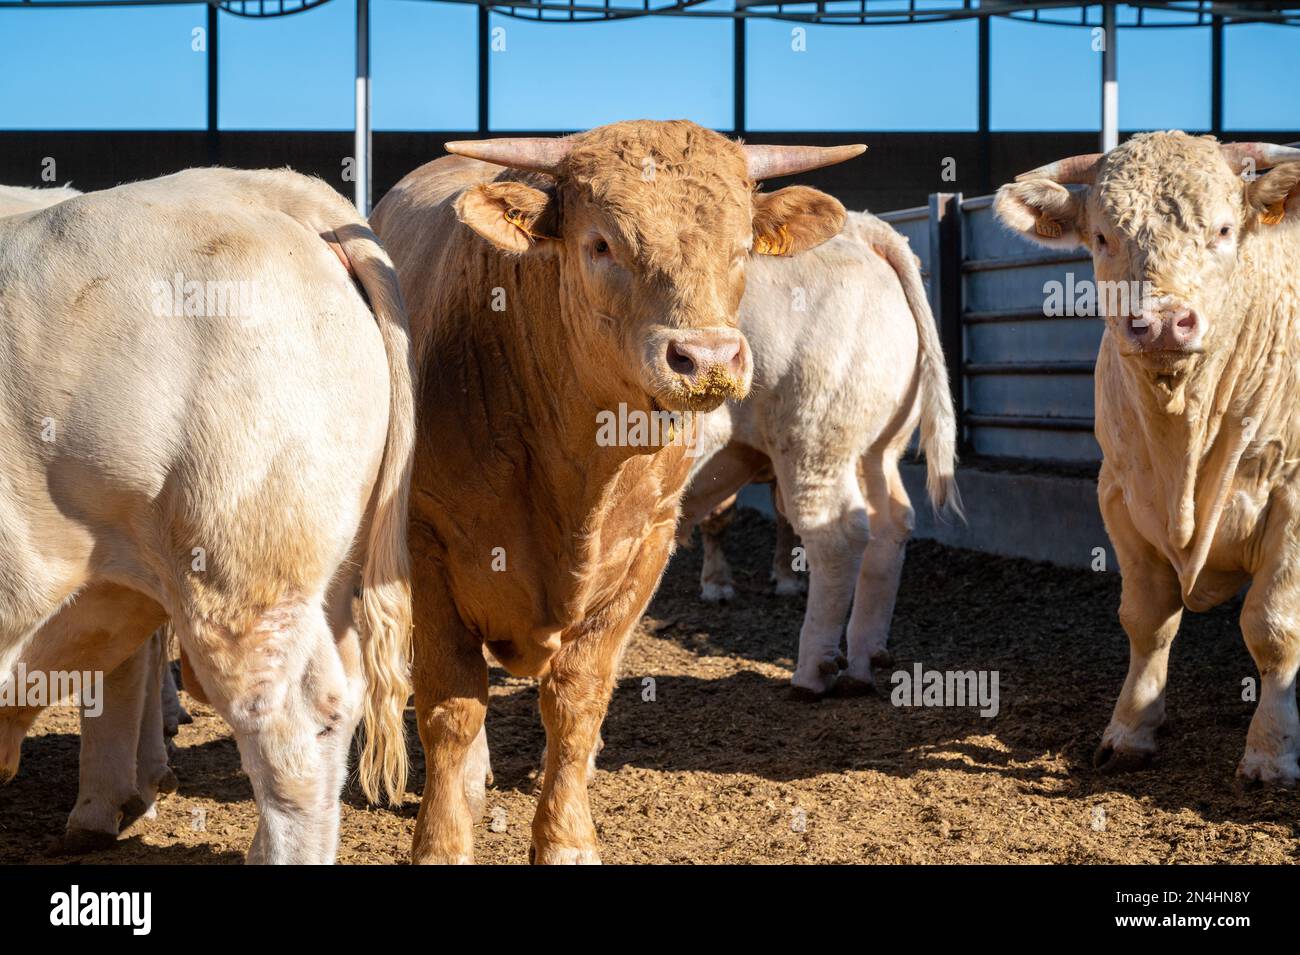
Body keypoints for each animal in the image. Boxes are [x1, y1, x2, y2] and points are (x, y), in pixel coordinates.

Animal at [370, 119, 863, 863]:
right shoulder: (427, 550)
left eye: (741, 246)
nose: (708, 358)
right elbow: (450, 707)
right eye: (601, 243)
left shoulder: (649, 543)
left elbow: (578, 699)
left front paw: (567, 837)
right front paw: (442, 841)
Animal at [678, 210, 962, 698]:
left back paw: (812, 672)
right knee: (889, 524)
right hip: (873, 448)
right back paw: (862, 663)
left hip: (812, 436)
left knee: (836, 533)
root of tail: (861, 227)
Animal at [994, 132, 1300, 784]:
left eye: (1224, 229)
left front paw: (1270, 752)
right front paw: (1130, 730)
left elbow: (1271, 628)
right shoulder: (1119, 495)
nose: (1161, 323)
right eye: (1103, 237)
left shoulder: (1291, 492)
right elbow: (1146, 620)